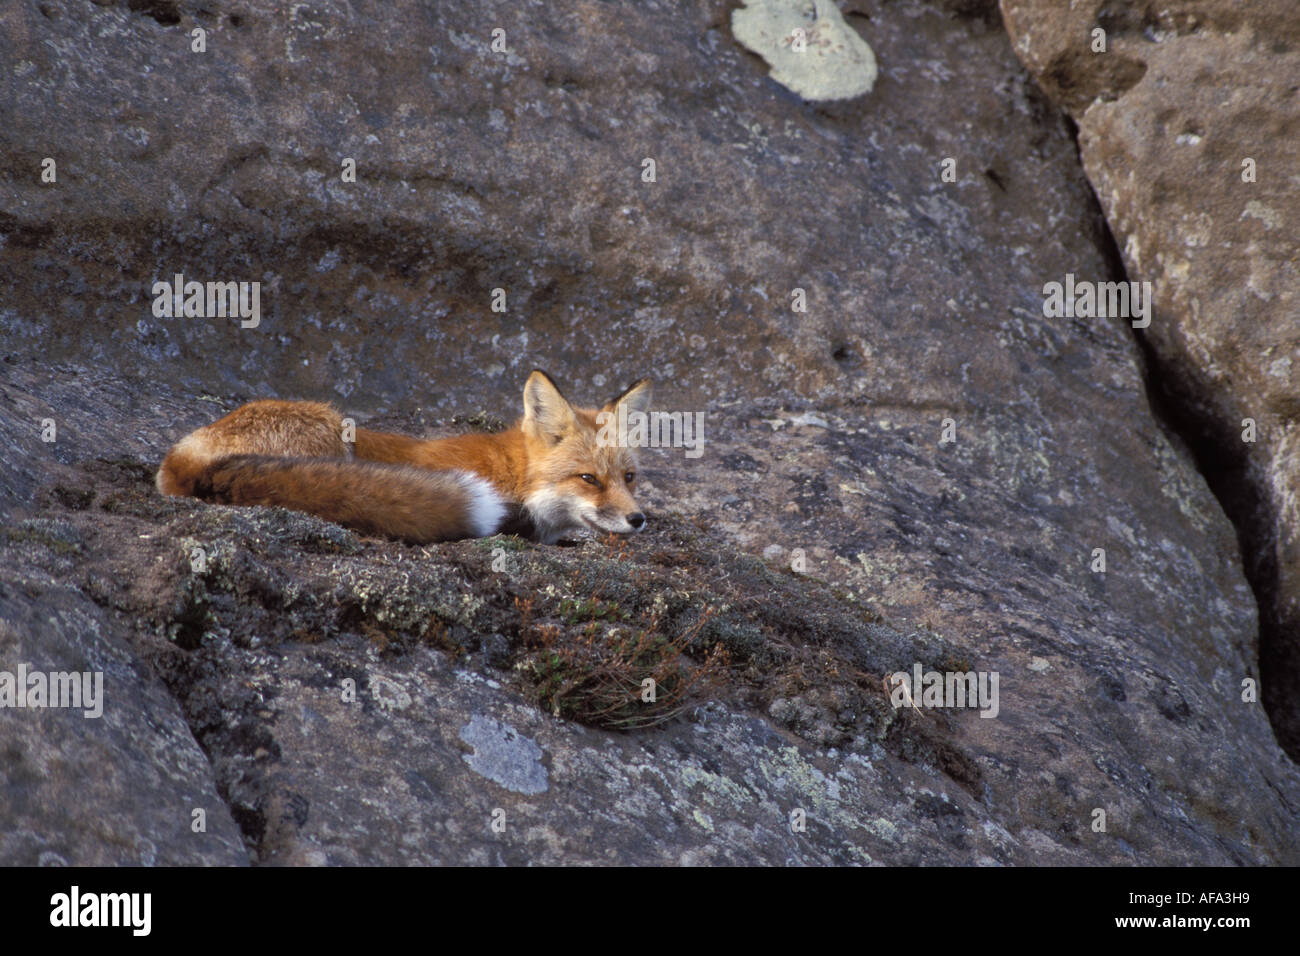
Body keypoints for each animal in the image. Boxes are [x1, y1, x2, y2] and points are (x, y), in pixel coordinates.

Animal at [155, 370, 652, 545]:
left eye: (629, 478)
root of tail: (185, 459)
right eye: (588, 479)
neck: (513, 475)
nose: (638, 519)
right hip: (332, 428)